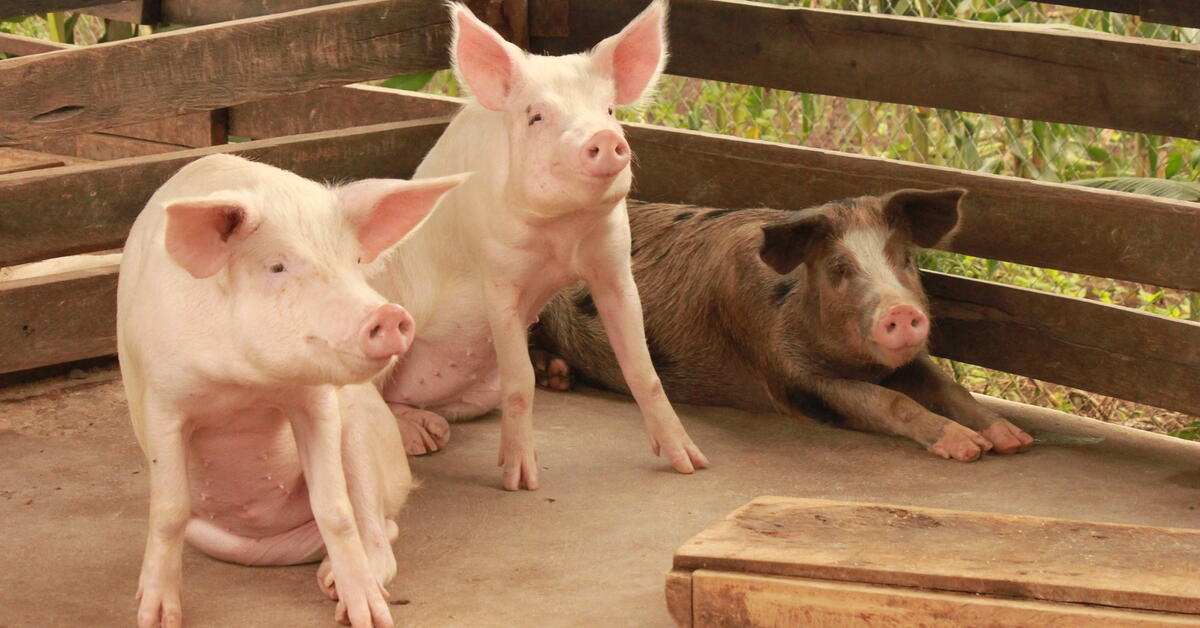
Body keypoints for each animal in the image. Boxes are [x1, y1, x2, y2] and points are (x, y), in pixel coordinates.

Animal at [117, 153, 463, 628]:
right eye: (277, 266)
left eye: (355, 259)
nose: (389, 314)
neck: (242, 386)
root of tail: (272, 546)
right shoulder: (163, 403)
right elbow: (168, 511)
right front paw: (155, 618)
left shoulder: (318, 402)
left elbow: (335, 508)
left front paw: (368, 616)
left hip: (365, 436)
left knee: (379, 526)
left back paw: (332, 582)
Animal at [368, 0, 707, 490]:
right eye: (536, 116)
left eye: (608, 110)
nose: (604, 138)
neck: (561, 240)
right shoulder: (498, 280)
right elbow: (520, 382)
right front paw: (521, 482)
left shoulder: (613, 265)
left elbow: (643, 371)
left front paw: (690, 464)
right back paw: (426, 440)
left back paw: (439, 429)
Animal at [531, 190, 1036, 461]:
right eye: (838, 268)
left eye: (905, 259)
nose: (899, 311)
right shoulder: (787, 377)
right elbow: (887, 402)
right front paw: (969, 448)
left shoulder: (908, 361)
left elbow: (950, 388)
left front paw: (1014, 441)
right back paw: (554, 377)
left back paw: (559, 376)